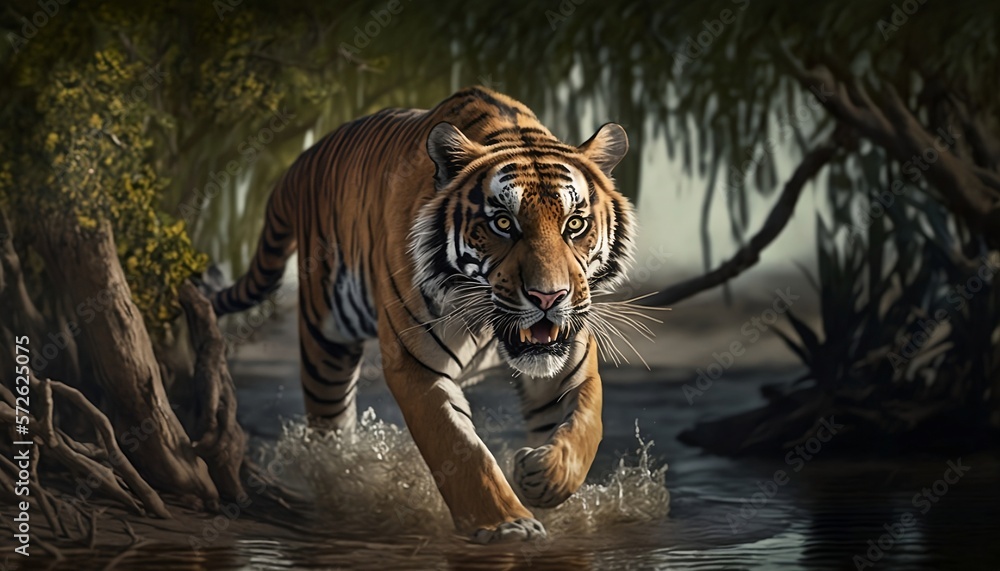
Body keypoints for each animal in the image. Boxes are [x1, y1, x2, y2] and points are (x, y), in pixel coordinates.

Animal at [211, 86, 636, 543]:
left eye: (574, 224)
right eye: (503, 223)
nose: (549, 296)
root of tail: (308, 156)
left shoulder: (571, 359)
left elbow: (585, 423)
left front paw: (544, 477)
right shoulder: (416, 365)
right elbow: (459, 447)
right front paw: (506, 524)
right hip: (326, 340)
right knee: (328, 426)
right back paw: (337, 481)